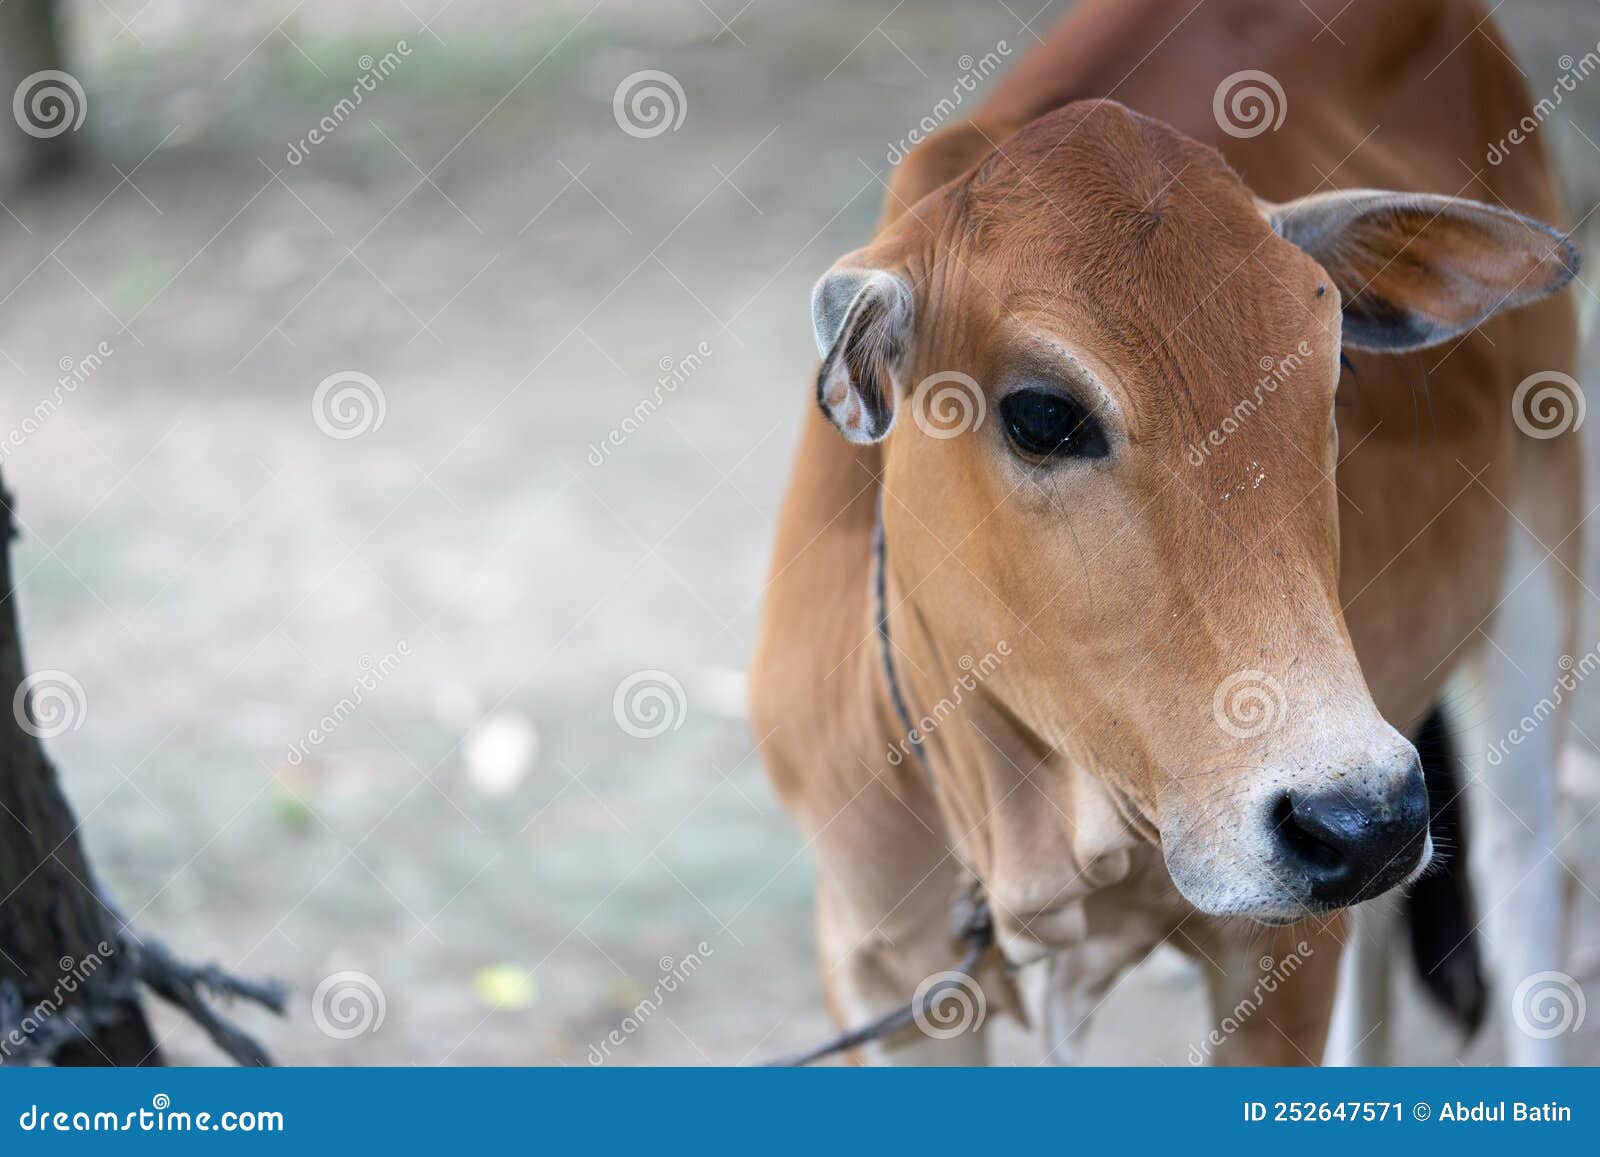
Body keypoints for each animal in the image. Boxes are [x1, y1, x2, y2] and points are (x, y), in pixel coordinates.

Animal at [750, 0, 1583, 1065]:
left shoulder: (1272, 957)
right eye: (1041, 414)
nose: (1362, 820)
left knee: (1526, 886)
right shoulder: (881, 973)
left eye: (1335, 374)